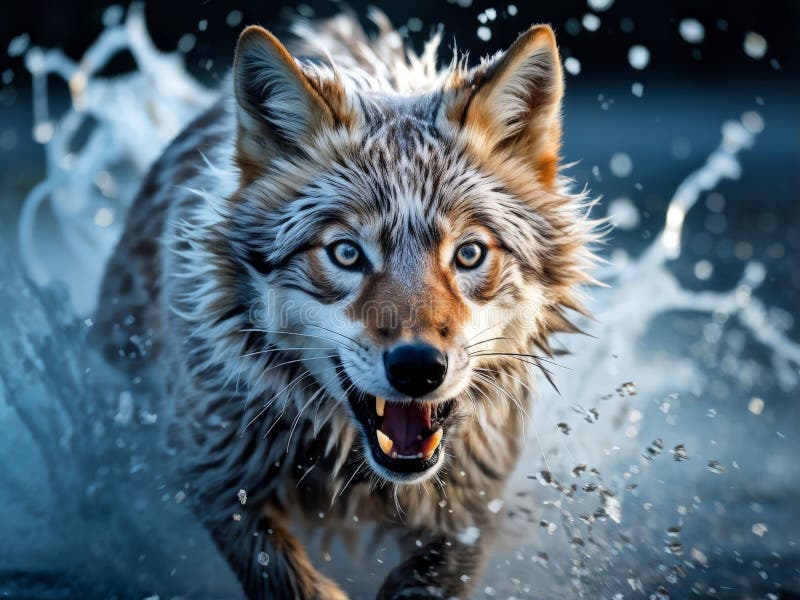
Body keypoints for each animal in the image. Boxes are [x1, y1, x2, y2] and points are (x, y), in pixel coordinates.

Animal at [95, 11, 598, 599]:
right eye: (346, 253)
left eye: (469, 254)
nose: (418, 368)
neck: (349, 473)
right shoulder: (216, 475)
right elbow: (283, 575)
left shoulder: (471, 510)